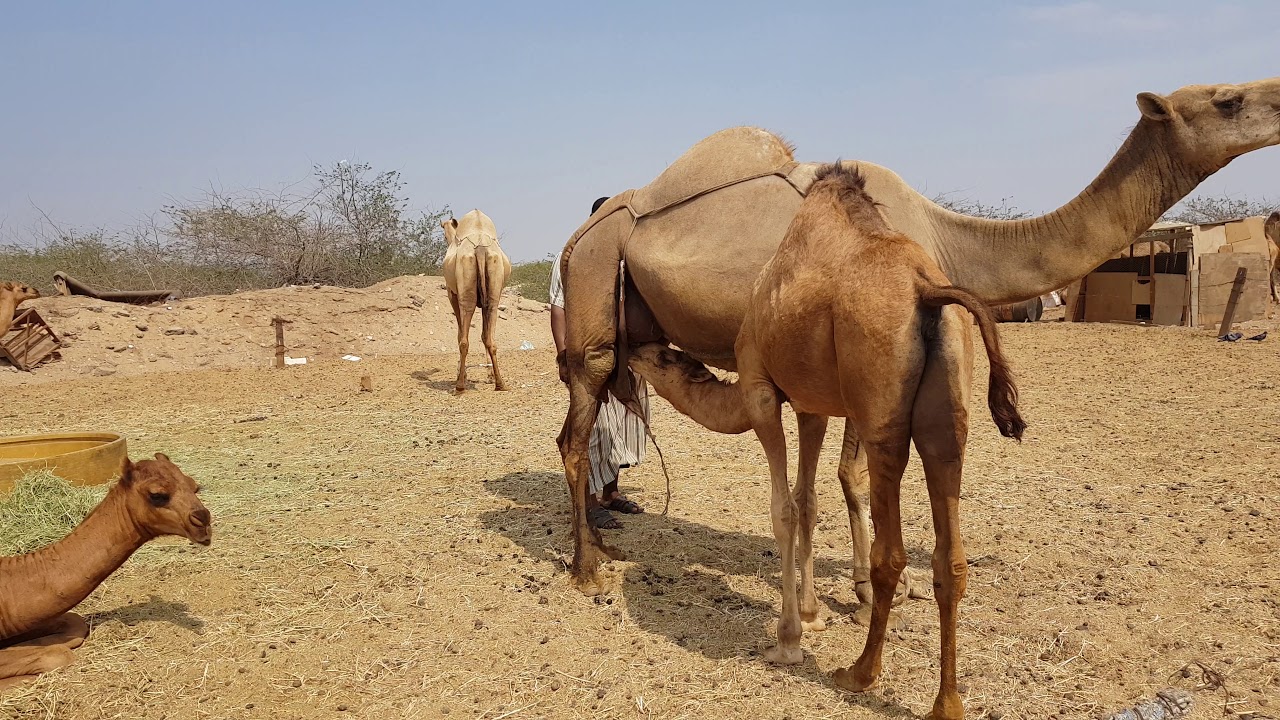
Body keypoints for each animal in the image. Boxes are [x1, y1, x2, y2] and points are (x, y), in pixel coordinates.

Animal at [0, 454, 212, 692]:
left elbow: (74, 625)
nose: (203, 521)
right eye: (157, 495)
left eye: (194, 486)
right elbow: (57, 655)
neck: (8, 589)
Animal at [442, 209, 512, 393]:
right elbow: (484, 335)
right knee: (490, 338)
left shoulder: (452, 293)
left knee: (464, 339)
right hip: (494, 292)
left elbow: (460, 334)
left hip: (465, 294)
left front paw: (463, 374)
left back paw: (460, 385)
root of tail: (480, 247)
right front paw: (489, 376)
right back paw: (500, 383)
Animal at [556, 76, 1280, 604]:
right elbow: (855, 471)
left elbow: (843, 472)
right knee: (576, 426)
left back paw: (606, 548)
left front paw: (856, 585)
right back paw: (587, 567)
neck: (945, 238)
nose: (1276, 97)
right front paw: (870, 590)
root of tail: (576, 236)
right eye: (1227, 99)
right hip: (594, 292)